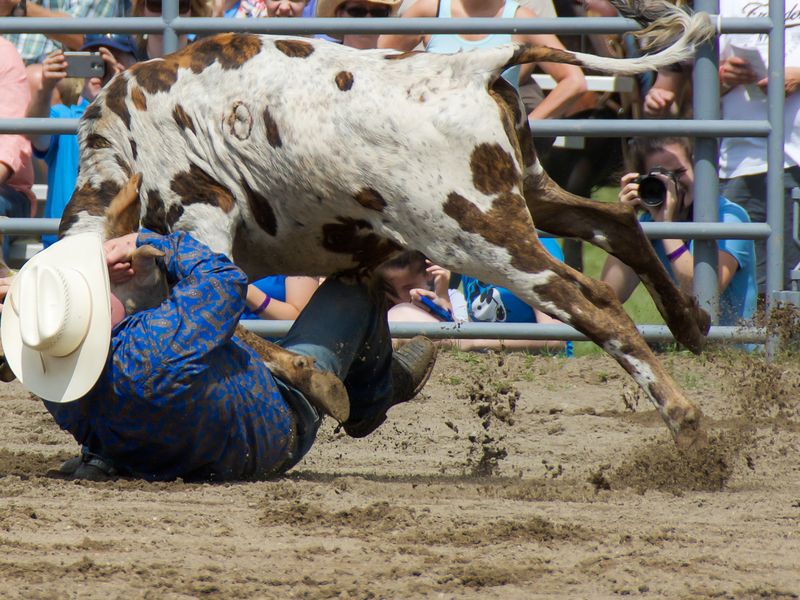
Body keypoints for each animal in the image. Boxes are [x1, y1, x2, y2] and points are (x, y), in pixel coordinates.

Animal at [58, 0, 717, 449]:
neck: (123, 150)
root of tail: (475, 64)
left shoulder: (200, 220)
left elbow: (234, 318)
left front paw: (319, 385)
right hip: (525, 192)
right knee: (617, 223)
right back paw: (691, 324)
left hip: (476, 234)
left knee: (594, 301)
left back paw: (688, 425)